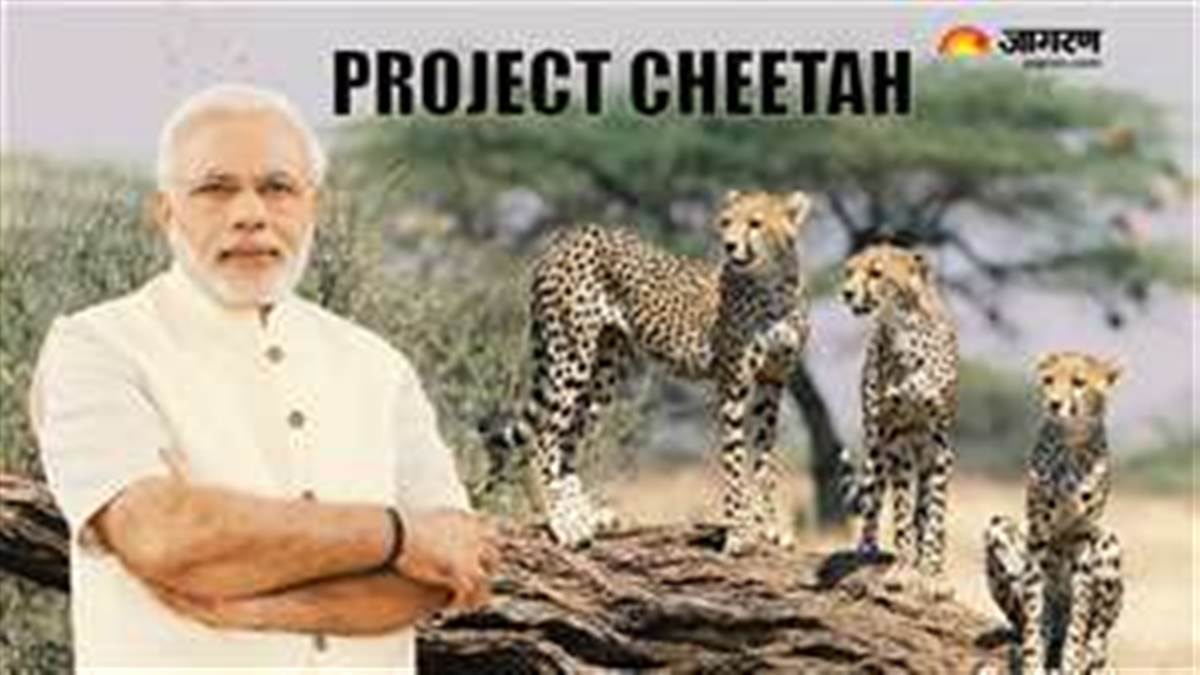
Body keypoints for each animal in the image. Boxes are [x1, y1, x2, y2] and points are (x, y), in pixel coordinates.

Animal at [482, 190, 813, 554]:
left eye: (755, 223)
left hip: (602, 371)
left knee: (567, 445)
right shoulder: (733, 385)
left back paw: (586, 519)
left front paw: (773, 530)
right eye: (726, 222)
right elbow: (735, 463)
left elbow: (766, 462)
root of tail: (568, 235)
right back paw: (563, 524)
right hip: (571, 356)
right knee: (545, 440)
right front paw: (738, 532)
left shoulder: (772, 382)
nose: (728, 245)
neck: (773, 286)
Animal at [838, 243, 959, 598]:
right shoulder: (897, 441)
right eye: (849, 271)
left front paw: (932, 575)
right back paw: (866, 550)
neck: (905, 332)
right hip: (876, 445)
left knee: (925, 509)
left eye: (876, 273)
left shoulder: (939, 446)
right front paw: (903, 570)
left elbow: (933, 516)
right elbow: (902, 512)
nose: (846, 293)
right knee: (873, 501)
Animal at [985, 351, 1124, 674]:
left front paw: (1072, 662)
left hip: (1108, 542)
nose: (1054, 404)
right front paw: (1032, 661)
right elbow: (1034, 612)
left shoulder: (1085, 537)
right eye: (1048, 380)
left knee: (1098, 634)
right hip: (998, 528)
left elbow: (1081, 619)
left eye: (1078, 382)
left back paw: (1089, 657)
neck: (1072, 442)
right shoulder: (1038, 535)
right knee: (1029, 620)